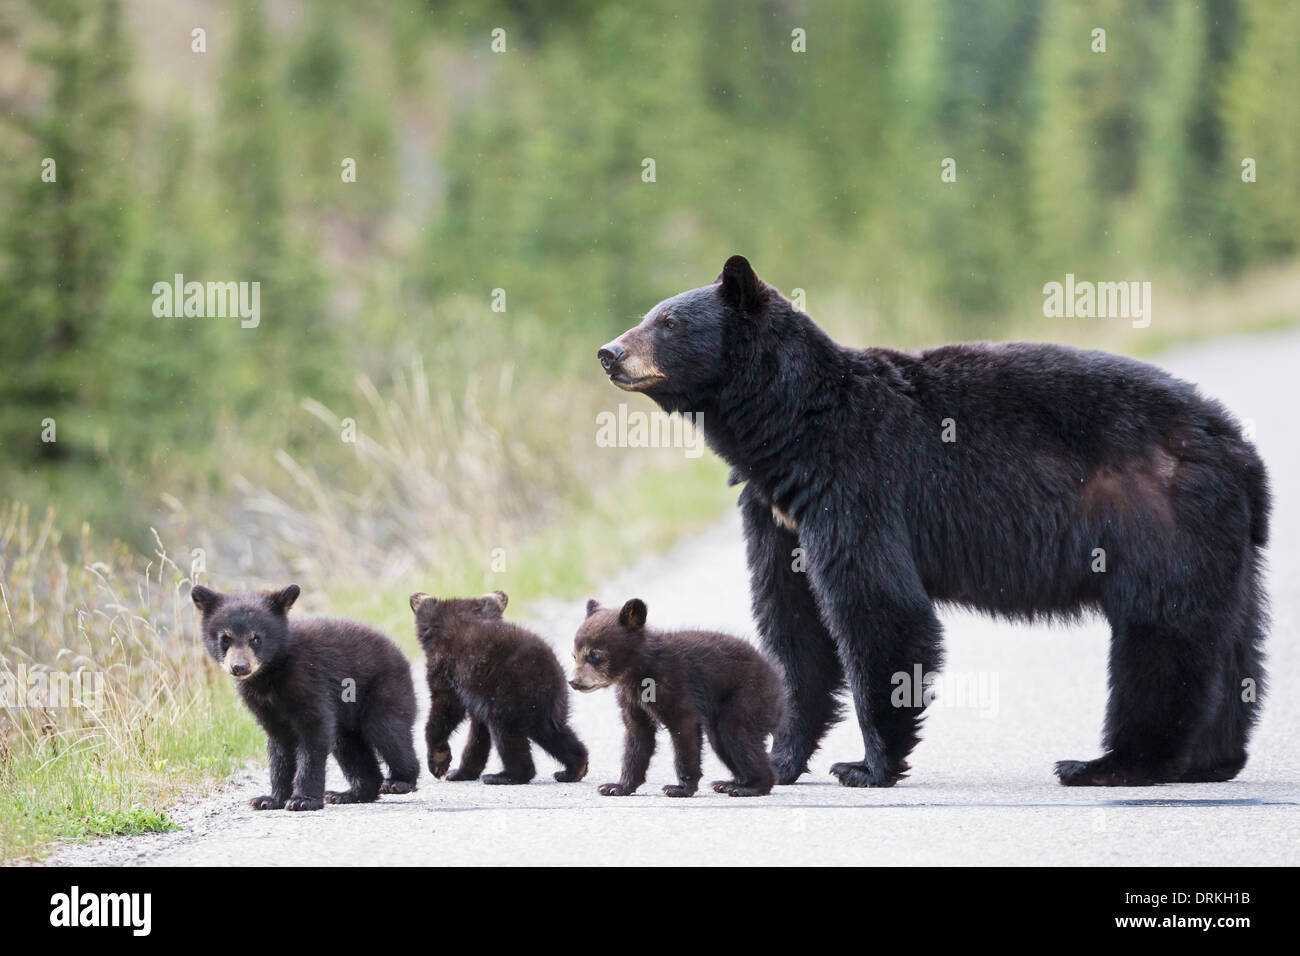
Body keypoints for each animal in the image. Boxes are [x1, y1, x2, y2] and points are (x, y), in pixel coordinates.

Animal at [190, 584, 420, 810]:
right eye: (225, 639)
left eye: (255, 638)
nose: (239, 667)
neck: (271, 675)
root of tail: (398, 652)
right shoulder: (263, 705)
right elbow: (280, 746)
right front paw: (270, 799)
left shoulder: (310, 681)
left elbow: (313, 736)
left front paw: (303, 799)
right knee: (348, 745)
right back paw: (348, 793)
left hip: (384, 688)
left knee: (387, 730)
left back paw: (400, 781)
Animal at [409, 590, 588, 785]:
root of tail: (548, 673)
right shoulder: (477, 692)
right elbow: (478, 734)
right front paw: (460, 772)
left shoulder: (446, 670)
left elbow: (446, 708)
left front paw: (439, 762)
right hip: (547, 704)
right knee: (552, 731)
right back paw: (573, 769)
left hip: (510, 695)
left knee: (506, 732)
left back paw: (504, 775)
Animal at [570, 598, 784, 797]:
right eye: (574, 655)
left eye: (594, 654)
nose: (574, 681)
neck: (638, 670)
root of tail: (777, 680)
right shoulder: (632, 700)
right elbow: (637, 737)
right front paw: (617, 786)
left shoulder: (674, 683)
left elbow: (684, 730)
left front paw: (680, 788)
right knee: (721, 741)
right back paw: (729, 783)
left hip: (749, 695)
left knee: (736, 734)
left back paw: (751, 786)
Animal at [596, 254, 1270, 788]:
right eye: (650, 313)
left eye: (668, 322)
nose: (609, 352)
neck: (792, 430)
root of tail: (1237, 448)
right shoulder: (777, 514)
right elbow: (794, 627)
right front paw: (782, 759)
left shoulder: (858, 483)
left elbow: (878, 608)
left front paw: (867, 765)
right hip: (1222, 546)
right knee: (1234, 643)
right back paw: (1210, 759)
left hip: (1155, 519)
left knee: (1160, 636)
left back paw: (1108, 764)